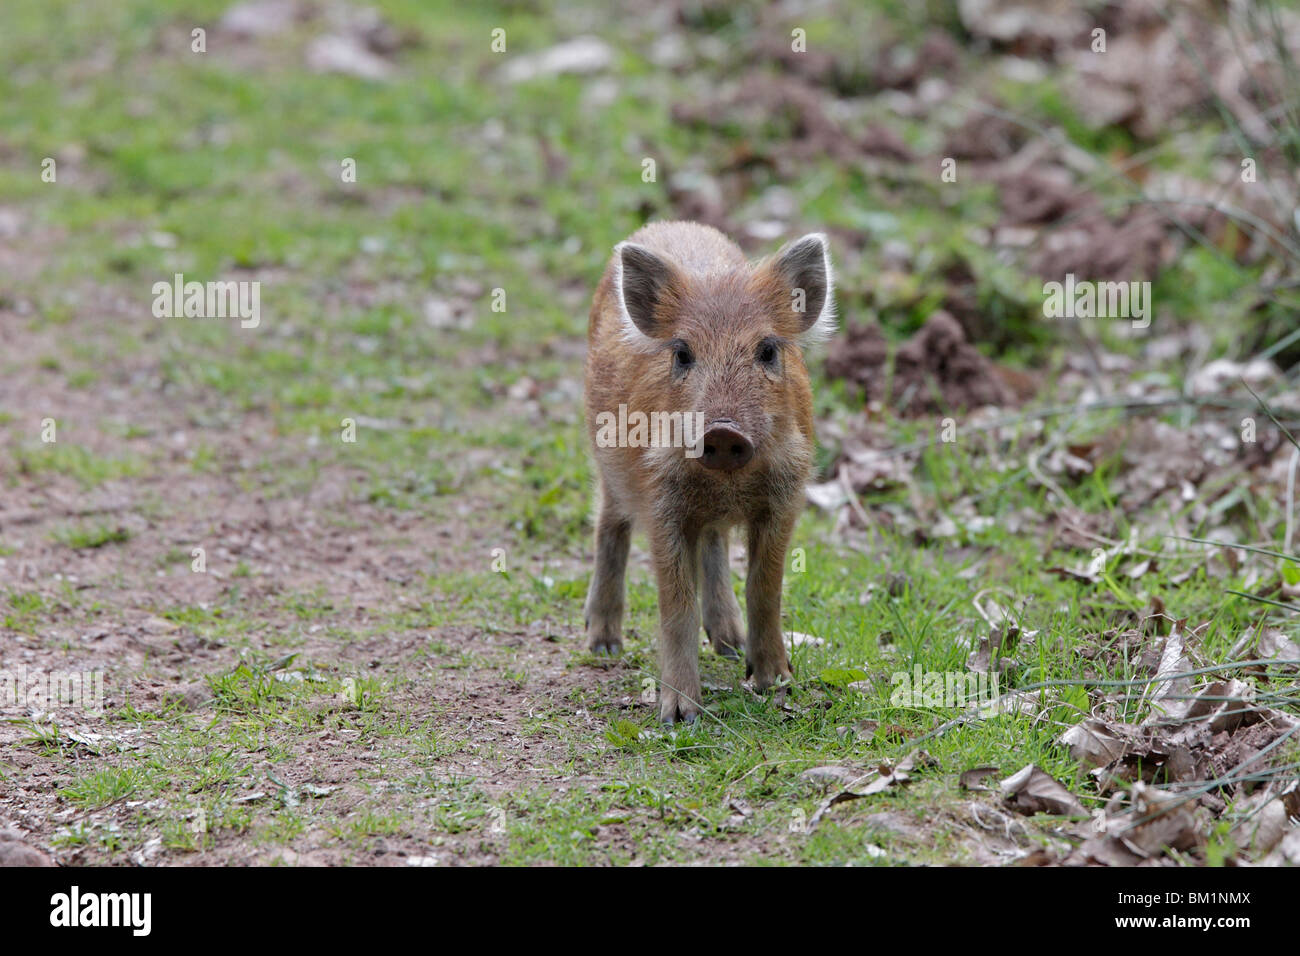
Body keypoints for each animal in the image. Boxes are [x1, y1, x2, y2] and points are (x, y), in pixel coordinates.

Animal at [583, 221, 835, 723]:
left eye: (767, 349)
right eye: (682, 353)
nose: (722, 431)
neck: (727, 485)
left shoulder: (784, 498)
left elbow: (765, 586)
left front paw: (775, 681)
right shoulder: (661, 500)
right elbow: (676, 602)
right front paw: (679, 714)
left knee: (715, 543)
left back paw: (730, 646)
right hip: (609, 465)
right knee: (609, 523)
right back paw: (603, 644)